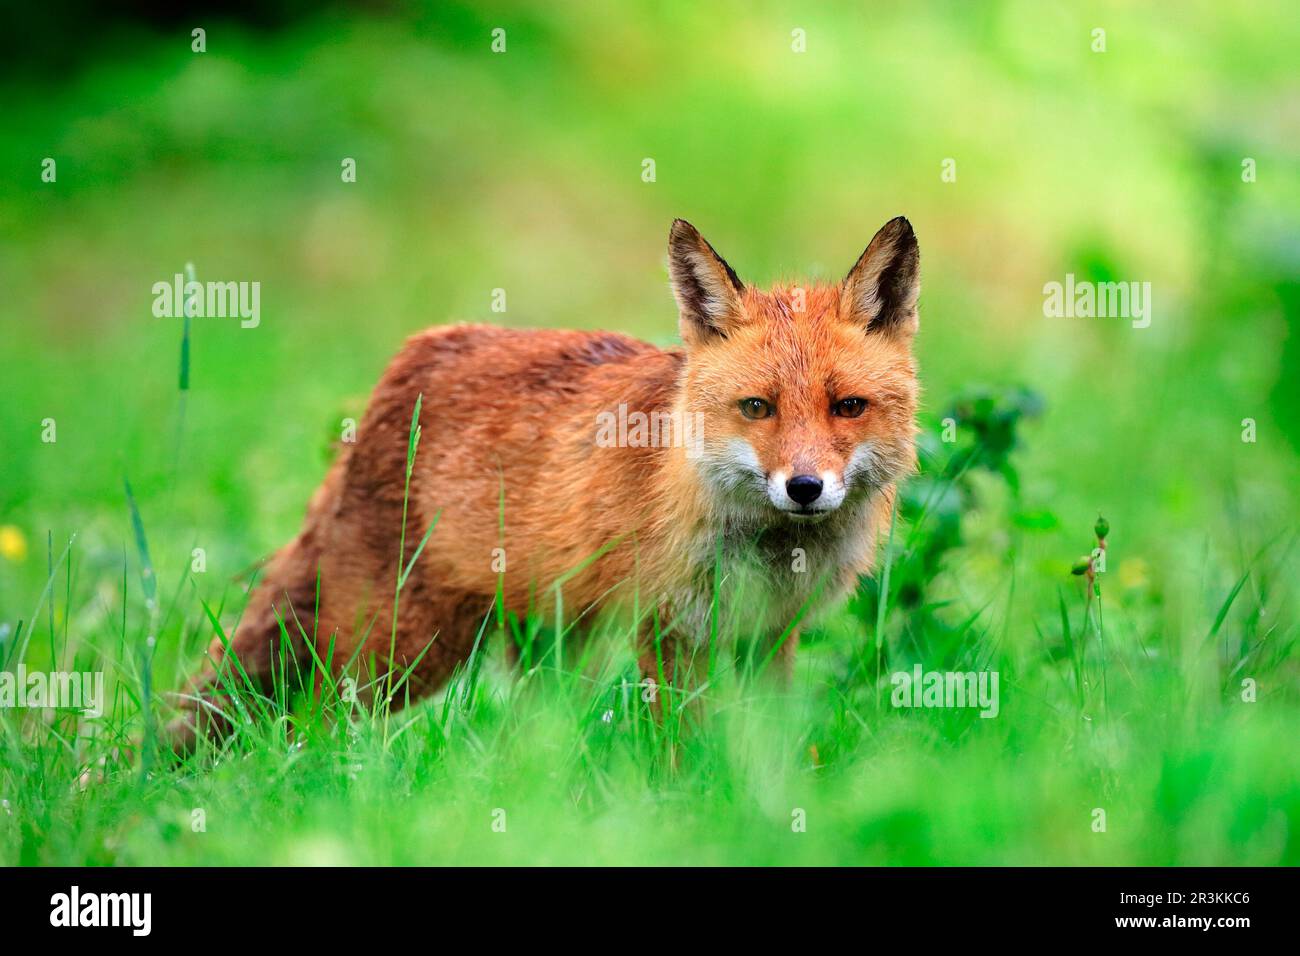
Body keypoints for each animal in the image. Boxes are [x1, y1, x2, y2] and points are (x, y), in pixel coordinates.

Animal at [166, 216, 921, 752]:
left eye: (847, 407)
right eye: (758, 408)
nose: (804, 487)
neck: (767, 548)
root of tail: (410, 360)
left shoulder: (768, 633)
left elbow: (767, 743)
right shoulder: (668, 628)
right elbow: (684, 746)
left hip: (546, 640)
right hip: (405, 647)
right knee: (310, 719)